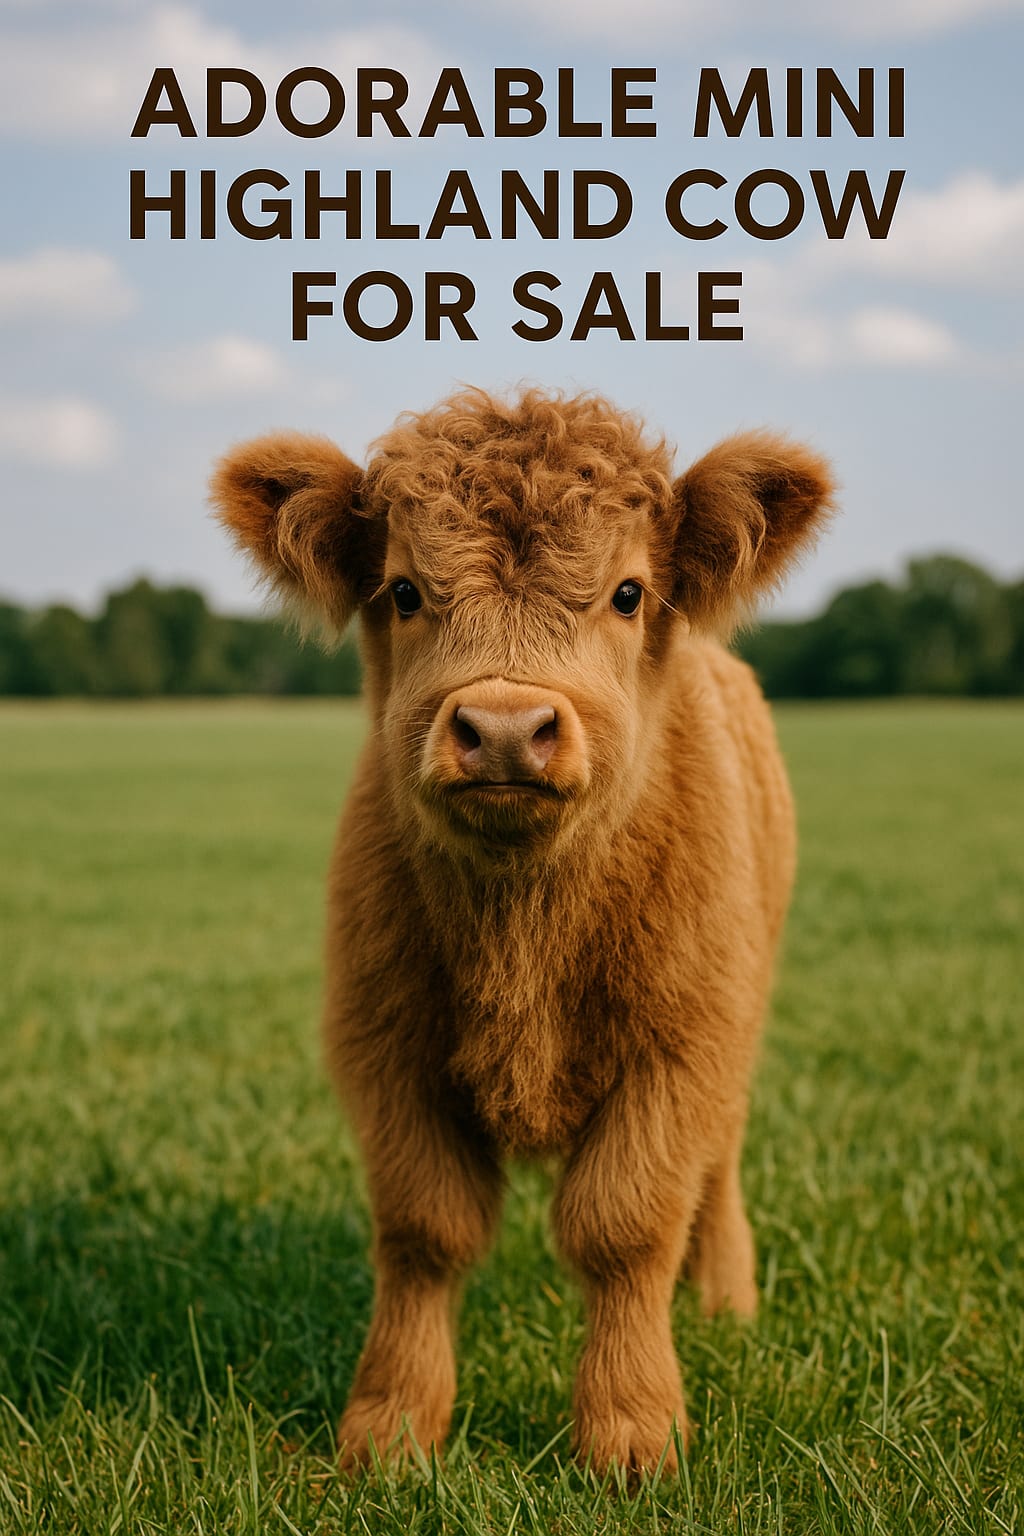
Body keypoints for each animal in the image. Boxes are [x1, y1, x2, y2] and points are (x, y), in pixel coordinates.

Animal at [210, 386, 834, 1476]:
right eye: (404, 592)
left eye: (627, 594)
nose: (504, 730)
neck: (524, 932)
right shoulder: (387, 1048)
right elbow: (425, 1230)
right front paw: (390, 1429)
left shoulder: (680, 1046)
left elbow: (624, 1227)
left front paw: (632, 1433)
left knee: (716, 1167)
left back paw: (723, 1299)